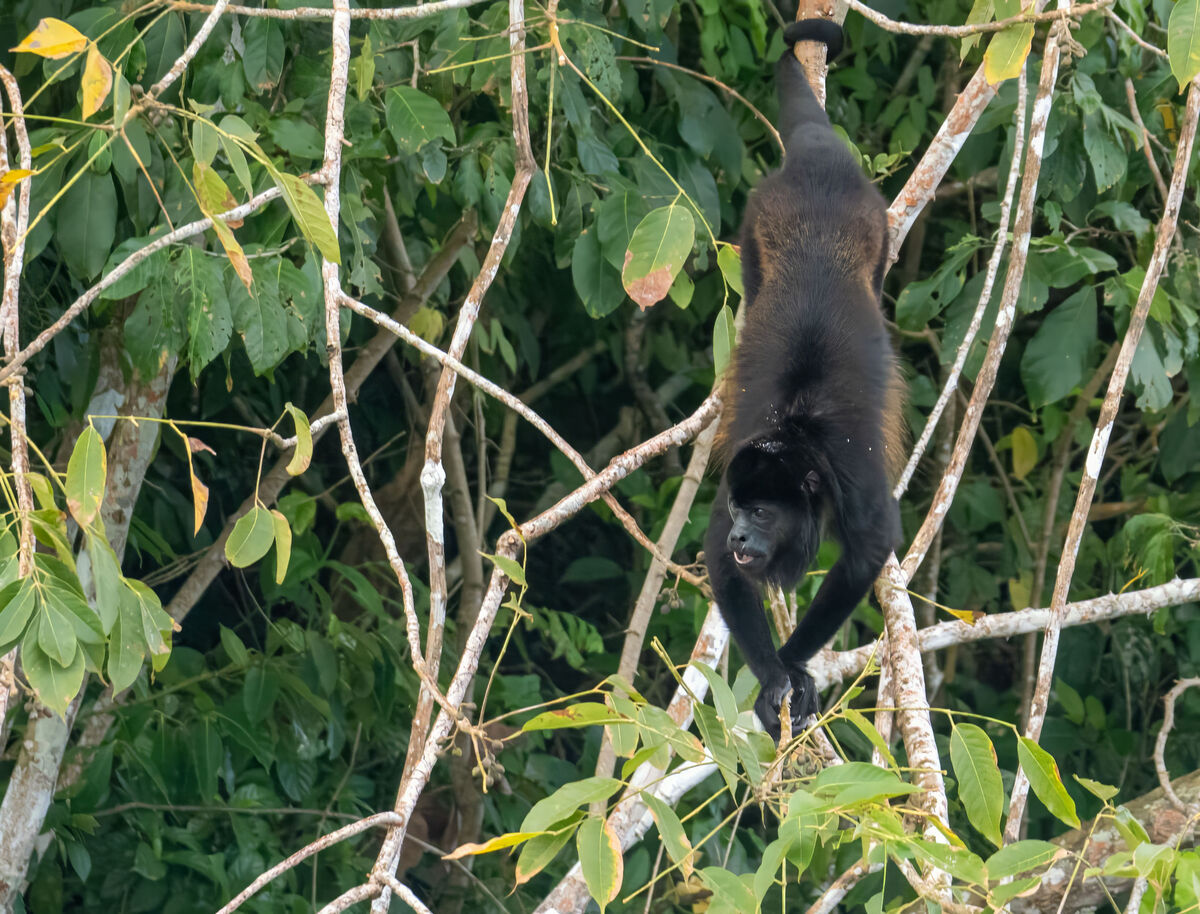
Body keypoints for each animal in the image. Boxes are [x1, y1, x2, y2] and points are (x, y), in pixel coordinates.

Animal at [704, 19, 905, 740]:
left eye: (762, 512)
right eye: (740, 510)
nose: (742, 533)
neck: (799, 439)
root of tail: (820, 165)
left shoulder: (855, 476)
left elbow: (866, 553)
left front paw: (791, 663)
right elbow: (718, 562)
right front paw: (773, 678)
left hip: (874, 222)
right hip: (756, 222)